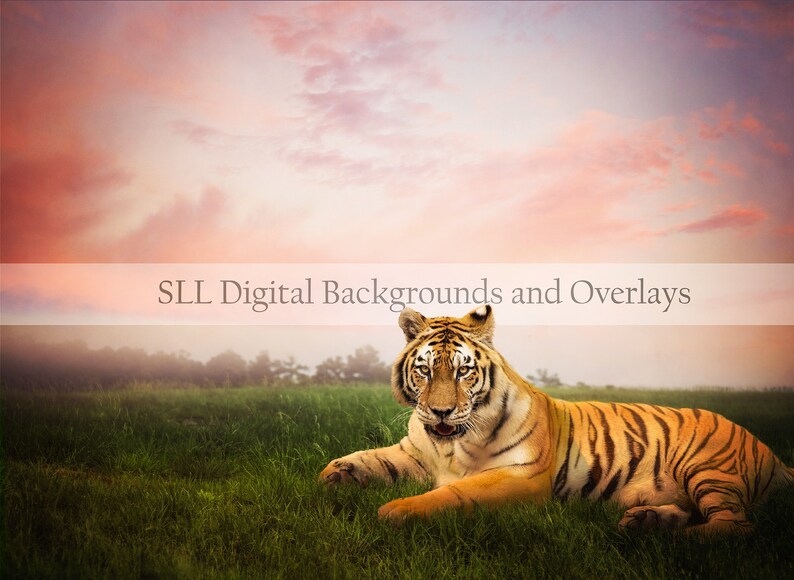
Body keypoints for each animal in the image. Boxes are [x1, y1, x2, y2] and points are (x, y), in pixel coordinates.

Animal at [320, 306, 794, 534]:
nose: (439, 411)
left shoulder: (523, 478)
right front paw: (335, 475)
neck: (448, 443)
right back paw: (646, 523)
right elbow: (370, 458)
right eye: (425, 369)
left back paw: (672, 538)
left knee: (737, 527)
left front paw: (395, 510)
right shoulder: (414, 452)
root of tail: (771, 451)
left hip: (709, 470)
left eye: (462, 371)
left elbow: (454, 493)